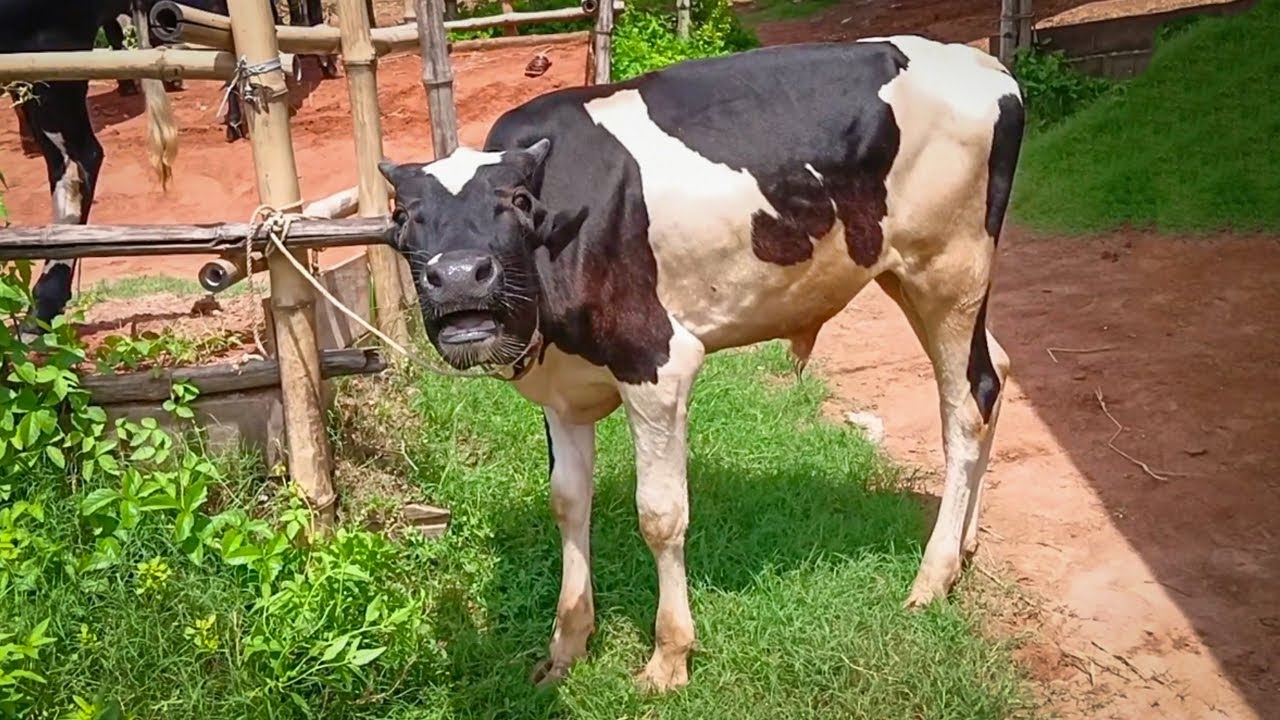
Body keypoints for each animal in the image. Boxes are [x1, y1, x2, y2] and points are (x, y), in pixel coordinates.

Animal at [374, 35, 1025, 691]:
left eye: (516, 201)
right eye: (404, 217)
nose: (460, 275)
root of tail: (981, 63)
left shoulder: (657, 363)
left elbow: (659, 515)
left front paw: (668, 658)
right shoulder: (562, 389)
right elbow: (567, 502)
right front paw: (567, 647)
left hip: (948, 268)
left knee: (965, 404)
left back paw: (932, 576)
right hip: (913, 276)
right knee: (993, 373)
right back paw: (965, 545)